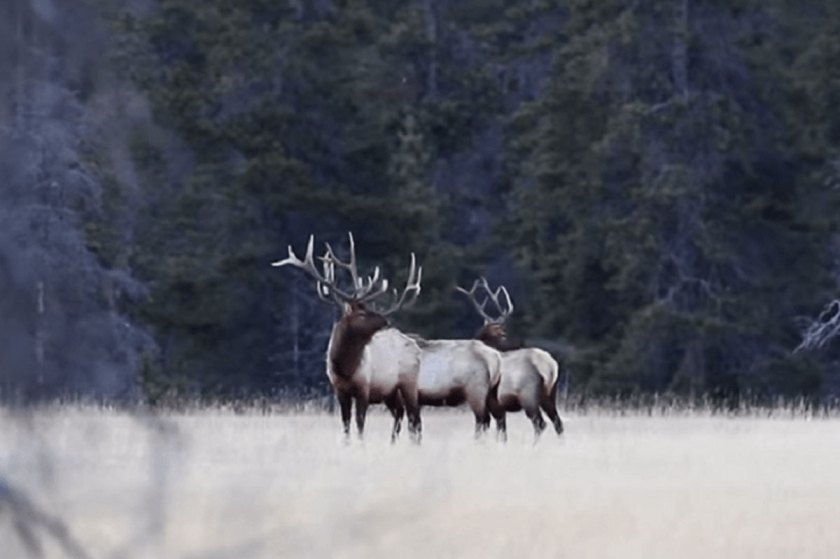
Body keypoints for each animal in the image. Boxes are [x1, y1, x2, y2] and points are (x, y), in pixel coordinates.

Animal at [273, 233, 424, 443]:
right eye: (361, 313)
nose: (387, 320)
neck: (345, 368)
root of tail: (416, 346)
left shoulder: (364, 388)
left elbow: (360, 423)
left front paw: (360, 445)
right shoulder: (340, 390)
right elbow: (346, 424)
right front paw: (347, 444)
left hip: (409, 382)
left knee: (415, 418)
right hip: (390, 393)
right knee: (401, 415)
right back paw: (393, 443)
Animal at [457, 278, 564, 442]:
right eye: (503, 334)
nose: (520, 343)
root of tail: (550, 367)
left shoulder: (490, 402)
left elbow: (487, 428)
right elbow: (501, 431)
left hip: (528, 395)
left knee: (540, 423)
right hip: (549, 394)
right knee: (558, 422)